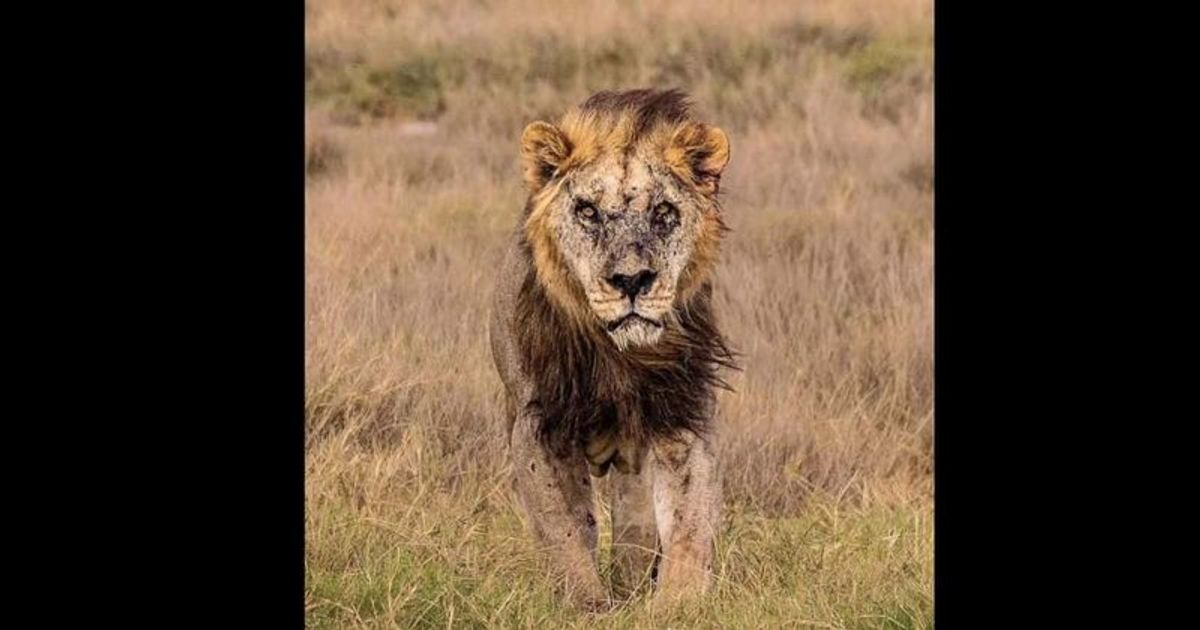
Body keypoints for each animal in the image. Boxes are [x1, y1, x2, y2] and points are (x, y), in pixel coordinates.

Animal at [489, 88, 735, 610]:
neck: (620, 356)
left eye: (663, 213)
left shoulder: (683, 414)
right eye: (587, 211)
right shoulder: (539, 424)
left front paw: (678, 606)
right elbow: (564, 530)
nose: (632, 280)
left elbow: (689, 523)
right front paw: (586, 606)